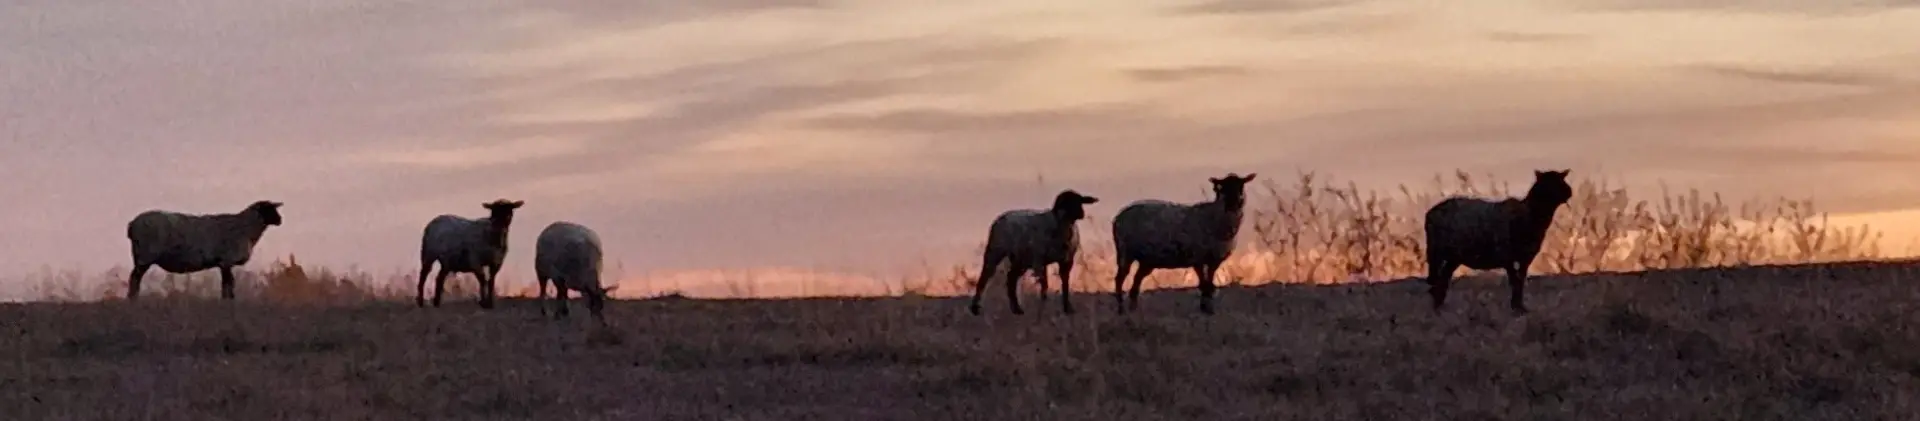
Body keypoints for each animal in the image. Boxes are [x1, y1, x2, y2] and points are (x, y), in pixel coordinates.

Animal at [124, 200, 284, 301]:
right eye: (268, 209)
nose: (280, 220)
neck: (246, 229)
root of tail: (132, 225)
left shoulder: (223, 264)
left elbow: (227, 284)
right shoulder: (226, 261)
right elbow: (229, 284)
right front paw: (228, 302)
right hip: (144, 256)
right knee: (134, 279)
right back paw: (133, 299)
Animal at [968, 189, 1101, 315]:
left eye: (1080, 201)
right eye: (1068, 202)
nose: (1082, 213)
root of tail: (1001, 217)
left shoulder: (1066, 261)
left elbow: (1065, 284)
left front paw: (1067, 308)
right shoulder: (1040, 260)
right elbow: (1045, 285)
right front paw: (1043, 306)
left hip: (1020, 259)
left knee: (1011, 279)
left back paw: (1017, 309)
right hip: (995, 251)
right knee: (985, 276)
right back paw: (975, 308)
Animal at [1111, 173, 1257, 315]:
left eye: (1241, 186)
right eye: (1223, 188)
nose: (1234, 205)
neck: (1215, 219)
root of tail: (1118, 217)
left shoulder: (1214, 260)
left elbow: (1209, 284)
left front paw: (1207, 308)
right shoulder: (1197, 257)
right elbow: (1204, 284)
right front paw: (1206, 309)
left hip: (1146, 259)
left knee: (1136, 280)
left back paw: (1133, 309)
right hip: (1125, 251)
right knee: (1120, 278)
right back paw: (1121, 309)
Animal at [1423, 169, 1574, 315]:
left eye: (1561, 180)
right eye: (1550, 183)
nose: (1569, 192)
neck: (1531, 215)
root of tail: (1429, 213)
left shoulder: (1526, 258)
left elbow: (1520, 281)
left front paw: (1520, 307)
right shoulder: (1507, 256)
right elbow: (1514, 281)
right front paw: (1516, 308)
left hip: (1454, 257)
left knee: (1443, 279)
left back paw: (1440, 307)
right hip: (1436, 251)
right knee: (1435, 280)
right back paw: (1437, 309)